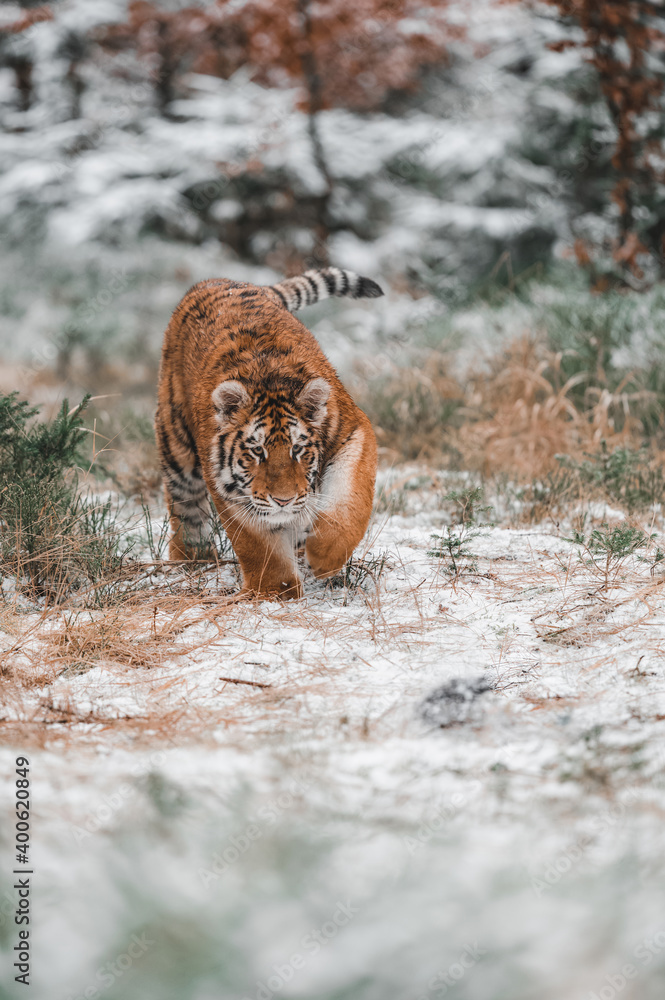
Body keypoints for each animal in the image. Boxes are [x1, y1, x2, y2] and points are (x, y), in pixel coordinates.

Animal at [155, 266, 383, 600]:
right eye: (256, 452)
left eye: (298, 450)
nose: (283, 501)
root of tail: (222, 281)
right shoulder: (228, 489)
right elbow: (260, 548)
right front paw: (277, 593)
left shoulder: (353, 432)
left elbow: (348, 502)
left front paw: (325, 558)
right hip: (176, 446)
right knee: (185, 506)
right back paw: (191, 560)